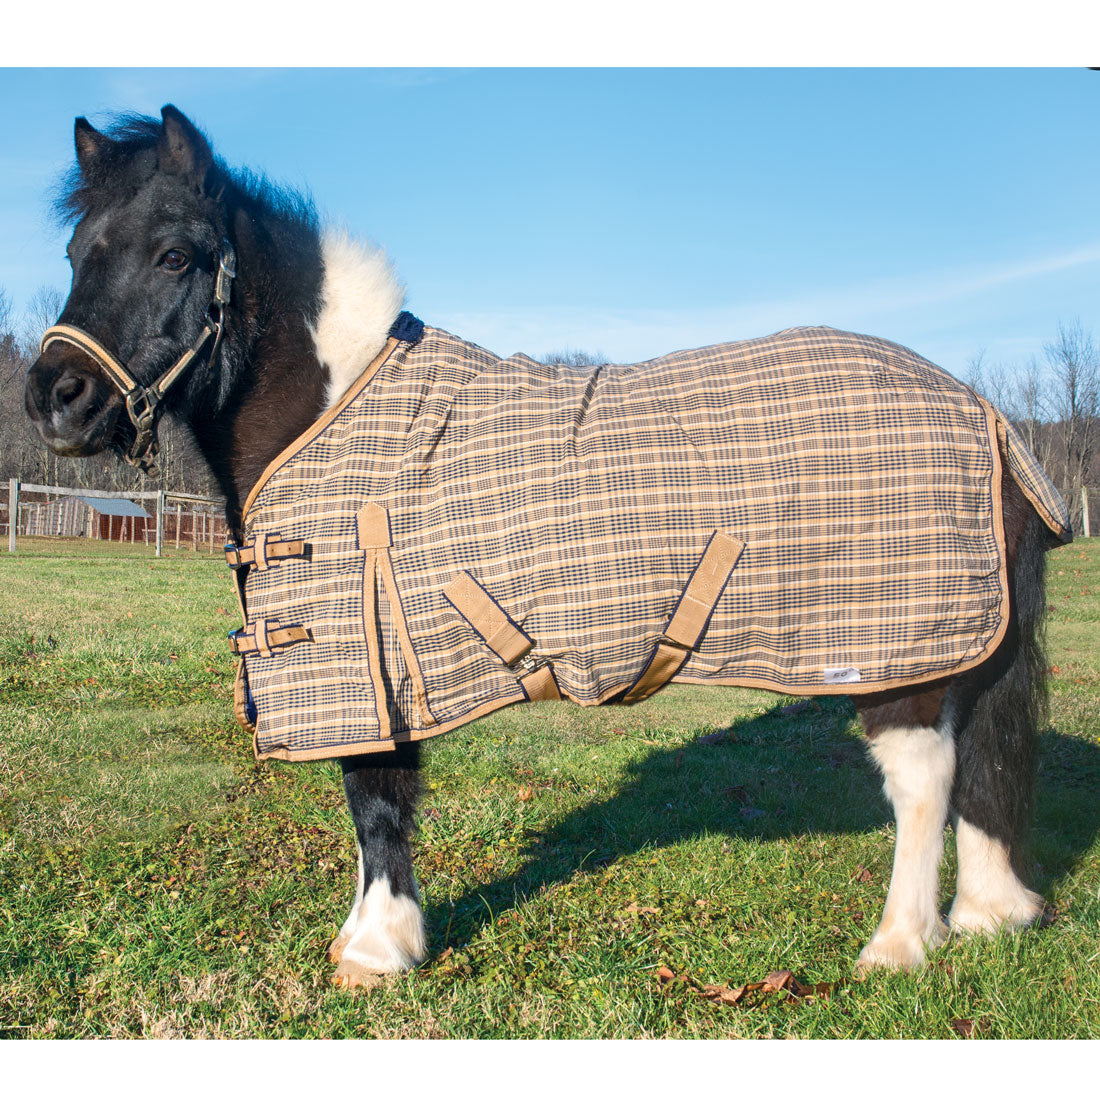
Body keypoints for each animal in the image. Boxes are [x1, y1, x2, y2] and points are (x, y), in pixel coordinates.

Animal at [25, 105, 1066, 988]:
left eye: (174, 254)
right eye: (77, 252)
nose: (53, 397)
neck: (336, 406)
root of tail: (986, 416)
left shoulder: (370, 660)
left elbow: (375, 797)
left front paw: (378, 949)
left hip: (901, 649)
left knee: (924, 780)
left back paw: (899, 946)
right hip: (965, 640)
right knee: (980, 756)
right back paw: (986, 915)